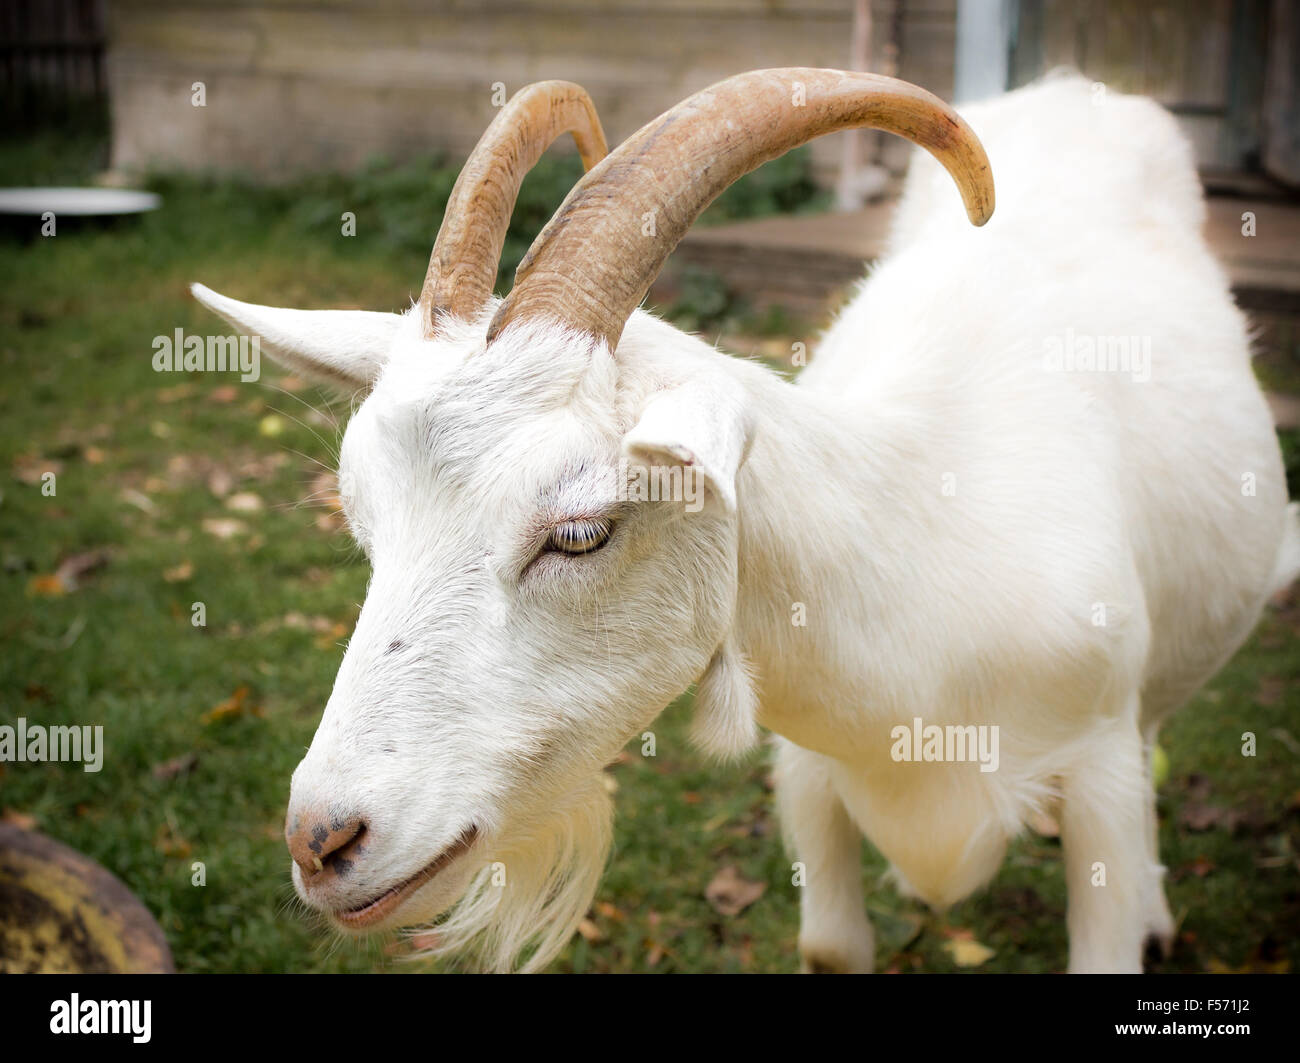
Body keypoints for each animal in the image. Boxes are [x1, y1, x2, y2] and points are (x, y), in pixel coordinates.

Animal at [193, 70, 1300, 973]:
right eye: (365, 523)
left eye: (581, 531)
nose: (323, 842)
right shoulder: (808, 773)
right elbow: (832, 947)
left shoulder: (1097, 756)